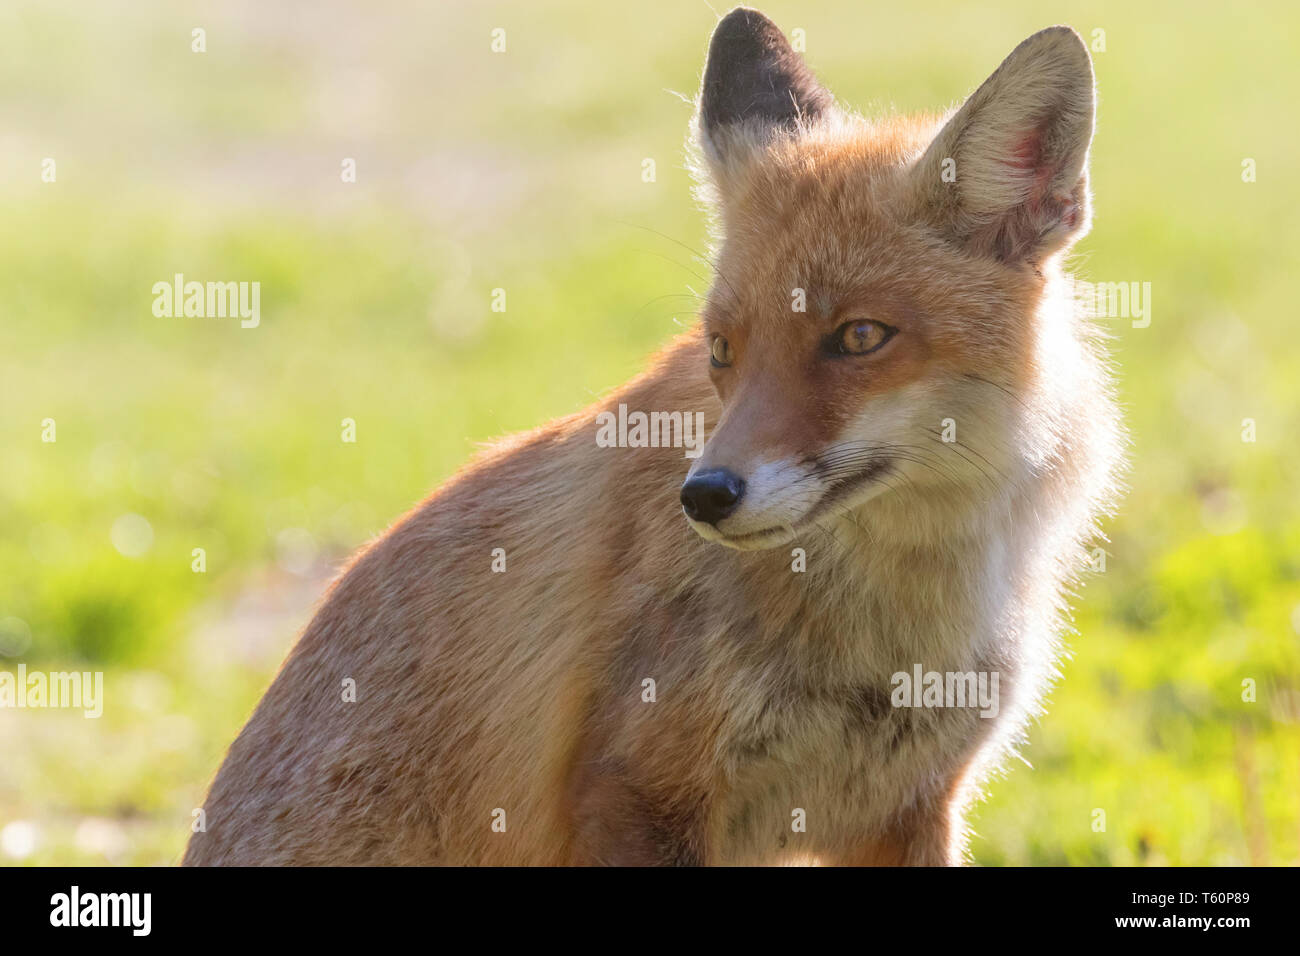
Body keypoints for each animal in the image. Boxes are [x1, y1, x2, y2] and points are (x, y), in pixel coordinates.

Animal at [185, 7, 1123, 866]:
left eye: (859, 337)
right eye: (721, 350)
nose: (704, 497)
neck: (890, 634)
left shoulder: (912, 805)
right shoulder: (634, 785)